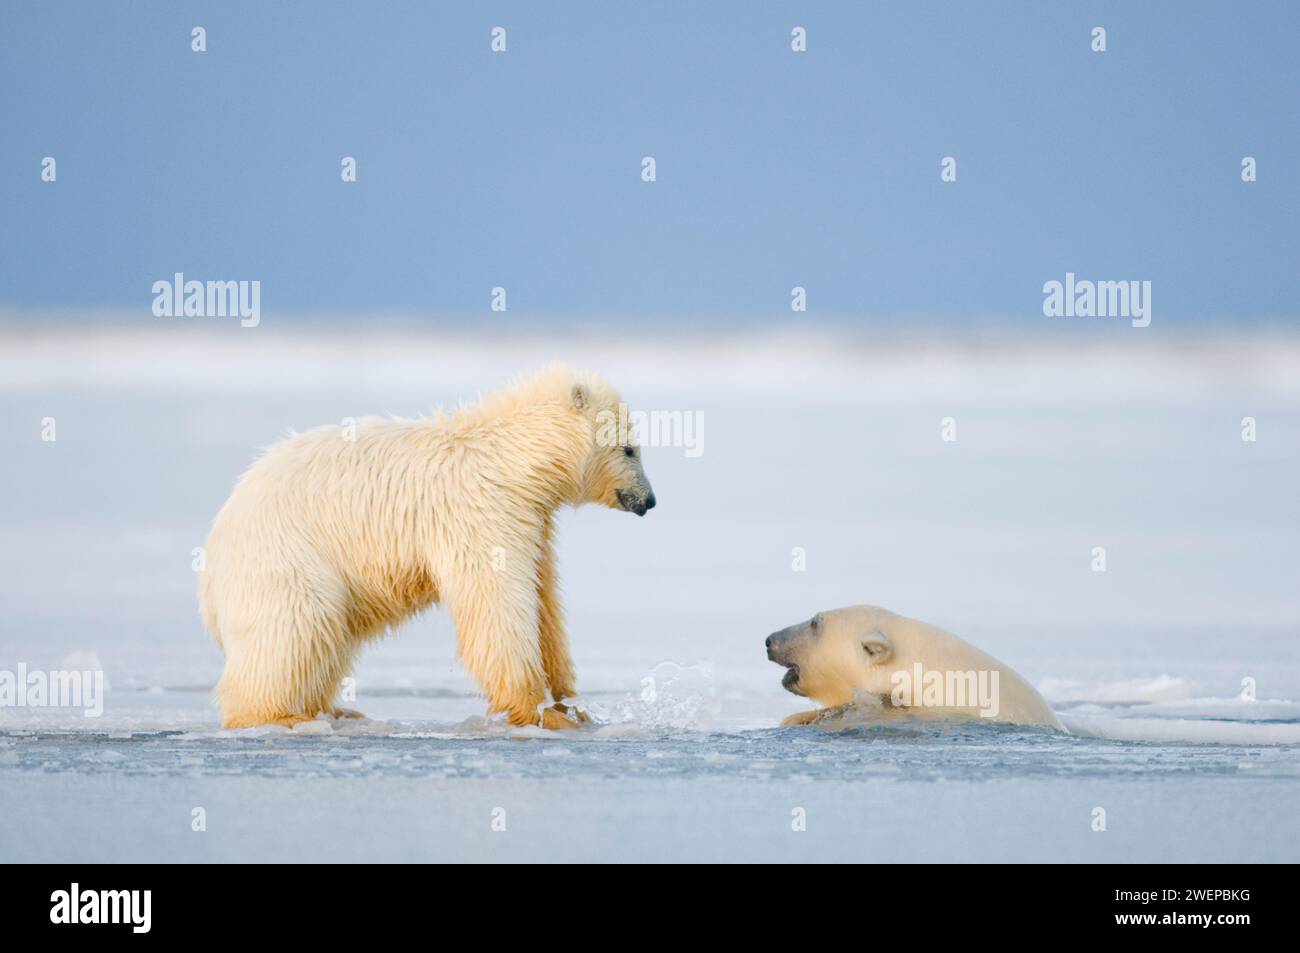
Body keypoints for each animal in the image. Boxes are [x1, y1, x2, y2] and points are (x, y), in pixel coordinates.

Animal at [199, 366, 655, 730]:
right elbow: (497, 606)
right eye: (630, 448)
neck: (511, 463)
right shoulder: (481, 514)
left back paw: (338, 710)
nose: (648, 500)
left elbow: (544, 603)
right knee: (295, 628)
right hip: (288, 555)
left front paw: (569, 701)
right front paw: (541, 711)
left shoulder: (532, 520)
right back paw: (279, 715)